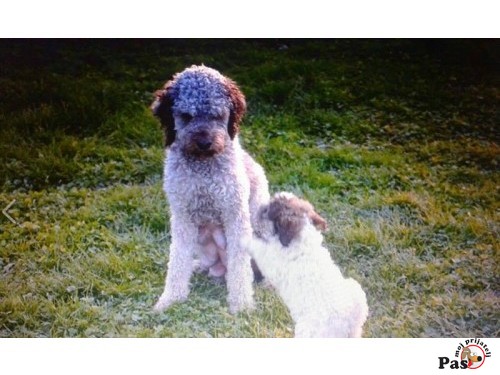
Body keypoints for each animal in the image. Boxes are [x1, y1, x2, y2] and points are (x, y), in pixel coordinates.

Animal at [150, 64, 270, 314]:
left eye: (217, 115)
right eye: (186, 116)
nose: (204, 143)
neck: (203, 169)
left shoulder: (235, 215)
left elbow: (240, 267)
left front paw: (241, 304)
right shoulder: (182, 216)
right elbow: (177, 260)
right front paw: (171, 298)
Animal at [249, 194, 370, 338]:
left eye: (267, 210)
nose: (258, 209)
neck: (303, 237)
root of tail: (345, 326)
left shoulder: (271, 259)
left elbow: (257, 246)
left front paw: (246, 237)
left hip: (307, 331)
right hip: (356, 293)